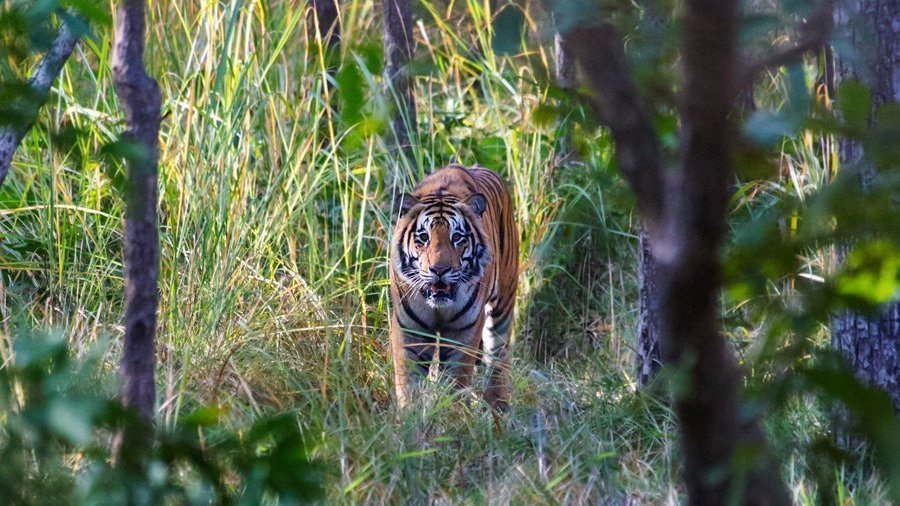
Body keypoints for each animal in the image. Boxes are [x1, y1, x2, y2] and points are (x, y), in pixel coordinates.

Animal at [389, 164, 519, 413]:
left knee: (497, 356)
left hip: (502, 305)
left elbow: (456, 381)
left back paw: (498, 406)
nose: (439, 269)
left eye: (457, 237)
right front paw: (409, 416)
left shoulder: (464, 330)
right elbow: (408, 381)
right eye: (423, 237)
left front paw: (454, 415)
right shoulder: (409, 328)